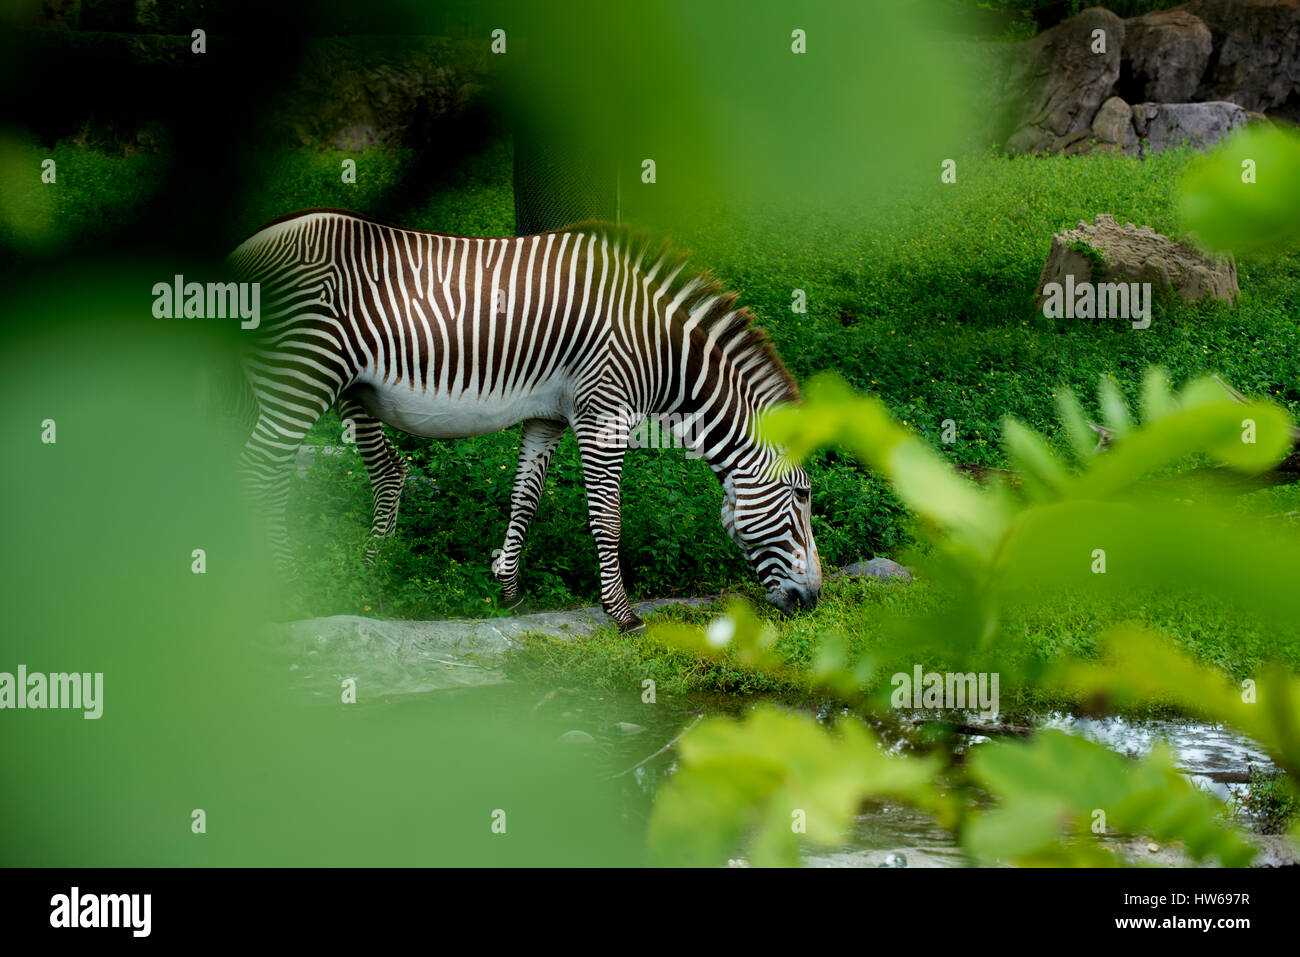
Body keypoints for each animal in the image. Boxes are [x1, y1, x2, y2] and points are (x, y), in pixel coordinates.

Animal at [228, 208, 821, 631]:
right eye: (802, 495)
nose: (814, 601)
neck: (659, 348)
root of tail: (242, 252)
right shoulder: (603, 411)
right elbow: (607, 517)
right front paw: (623, 615)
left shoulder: (547, 417)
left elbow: (525, 498)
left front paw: (507, 590)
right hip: (302, 377)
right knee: (260, 473)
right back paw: (285, 587)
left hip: (347, 388)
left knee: (381, 469)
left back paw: (367, 571)